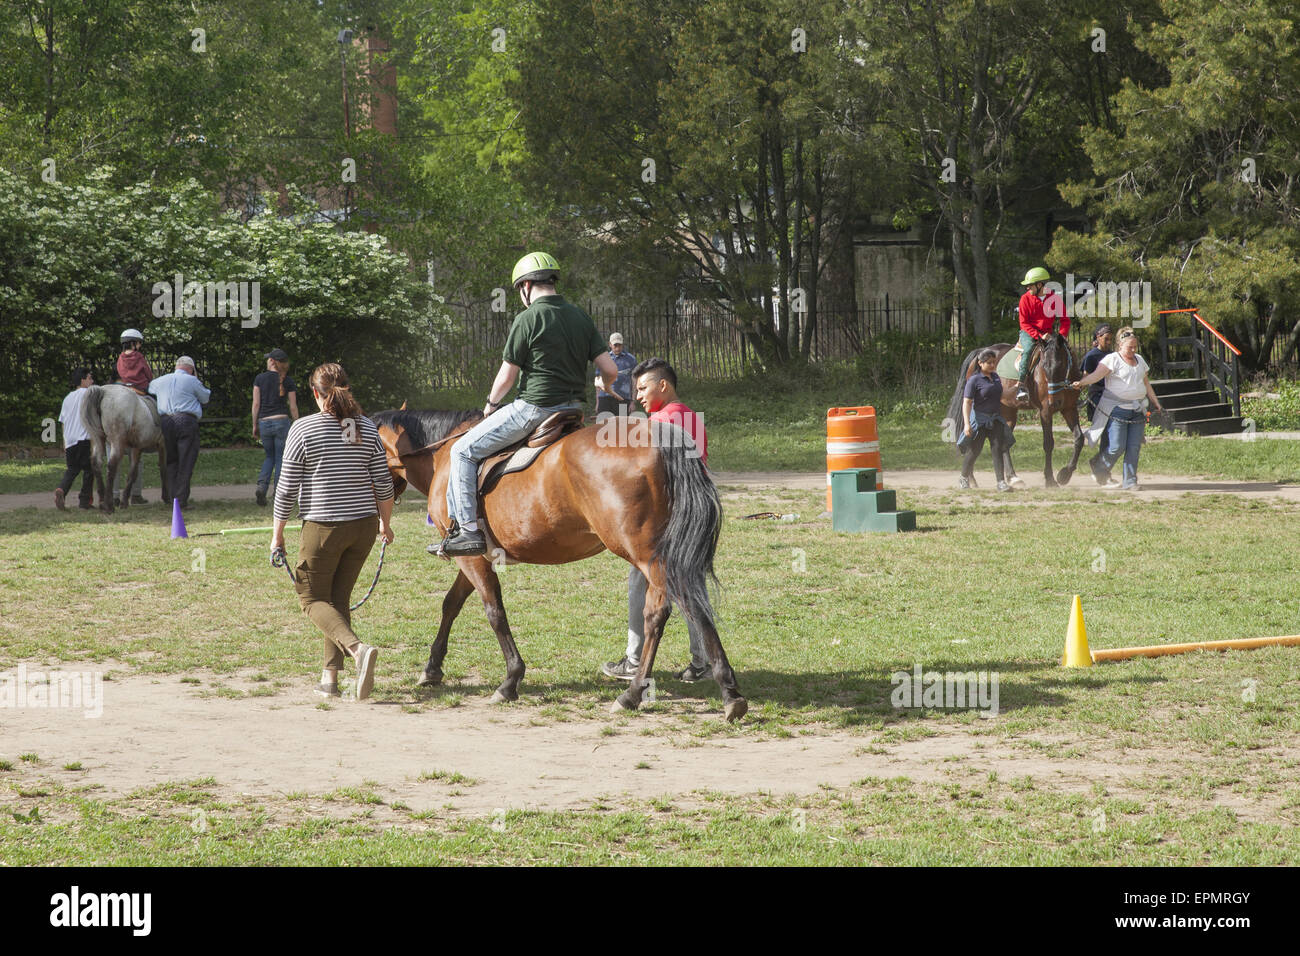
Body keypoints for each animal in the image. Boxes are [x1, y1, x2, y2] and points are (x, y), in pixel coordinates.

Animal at [80, 384, 169, 513]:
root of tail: (103, 390)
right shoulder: (161, 445)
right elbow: (163, 469)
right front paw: (167, 497)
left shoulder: (136, 449)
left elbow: (133, 473)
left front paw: (124, 502)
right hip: (116, 441)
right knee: (112, 466)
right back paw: (108, 506)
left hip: (98, 439)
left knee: (97, 463)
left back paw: (102, 501)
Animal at [371, 407, 748, 721]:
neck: (443, 457)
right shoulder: (477, 558)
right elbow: (451, 605)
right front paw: (432, 668)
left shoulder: (471, 556)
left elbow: (494, 612)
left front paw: (510, 680)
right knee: (684, 608)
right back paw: (724, 691)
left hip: (648, 556)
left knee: (666, 612)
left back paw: (637, 694)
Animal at [945, 331, 1085, 487]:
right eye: (1044, 366)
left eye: (1061, 365)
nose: (1054, 401)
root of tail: (980, 352)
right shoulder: (1045, 412)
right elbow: (1048, 443)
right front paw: (1050, 478)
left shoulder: (1069, 409)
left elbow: (1079, 438)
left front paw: (1065, 474)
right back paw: (971, 478)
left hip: (1008, 412)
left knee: (1003, 443)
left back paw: (1012, 477)